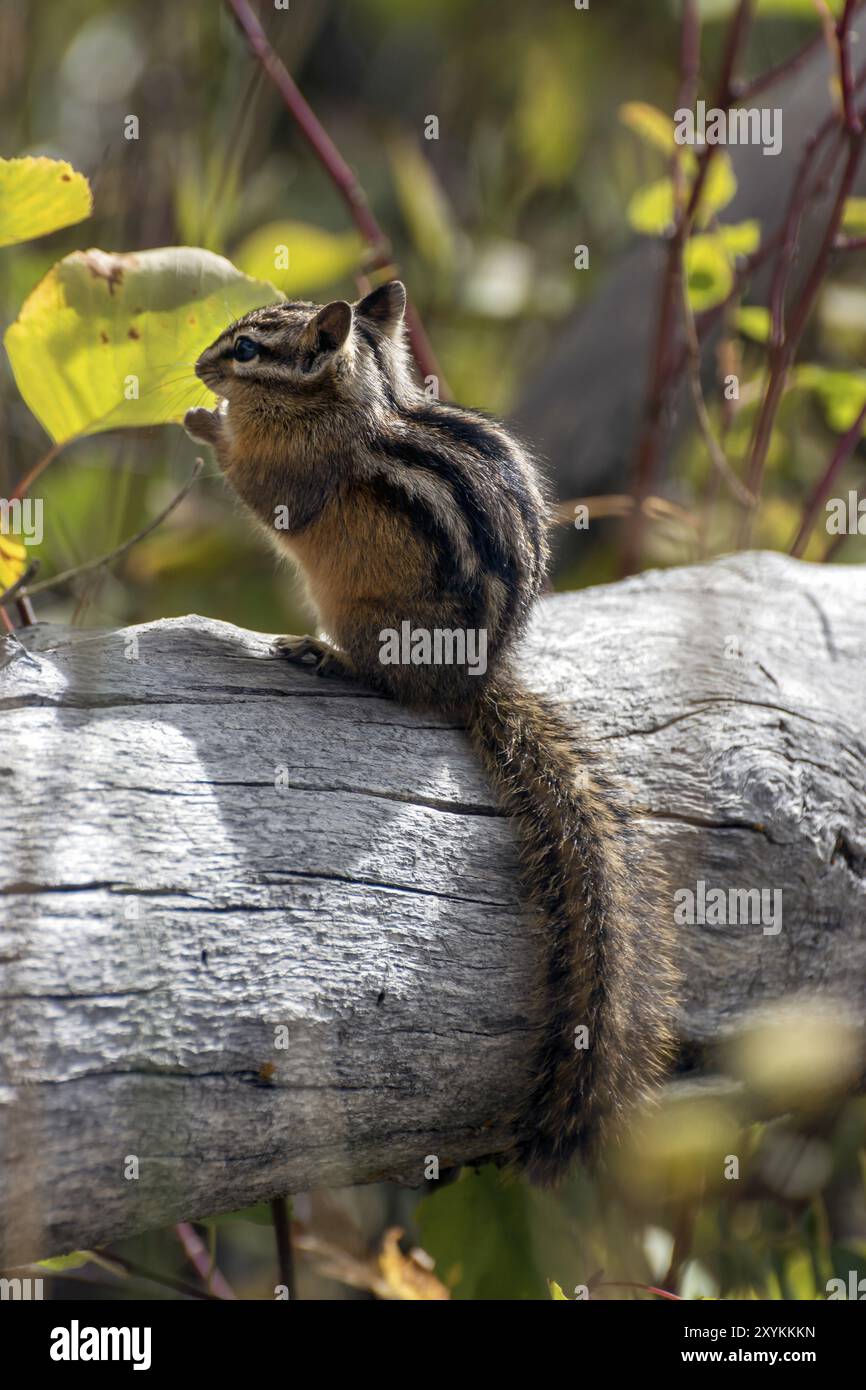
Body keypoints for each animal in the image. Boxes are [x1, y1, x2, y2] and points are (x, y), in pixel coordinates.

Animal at [184, 279, 678, 1184]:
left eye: (246, 350)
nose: (200, 367)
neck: (359, 402)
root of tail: (472, 686)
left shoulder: (296, 473)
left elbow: (262, 491)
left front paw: (206, 422)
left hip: (368, 619)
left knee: (385, 680)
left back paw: (323, 655)